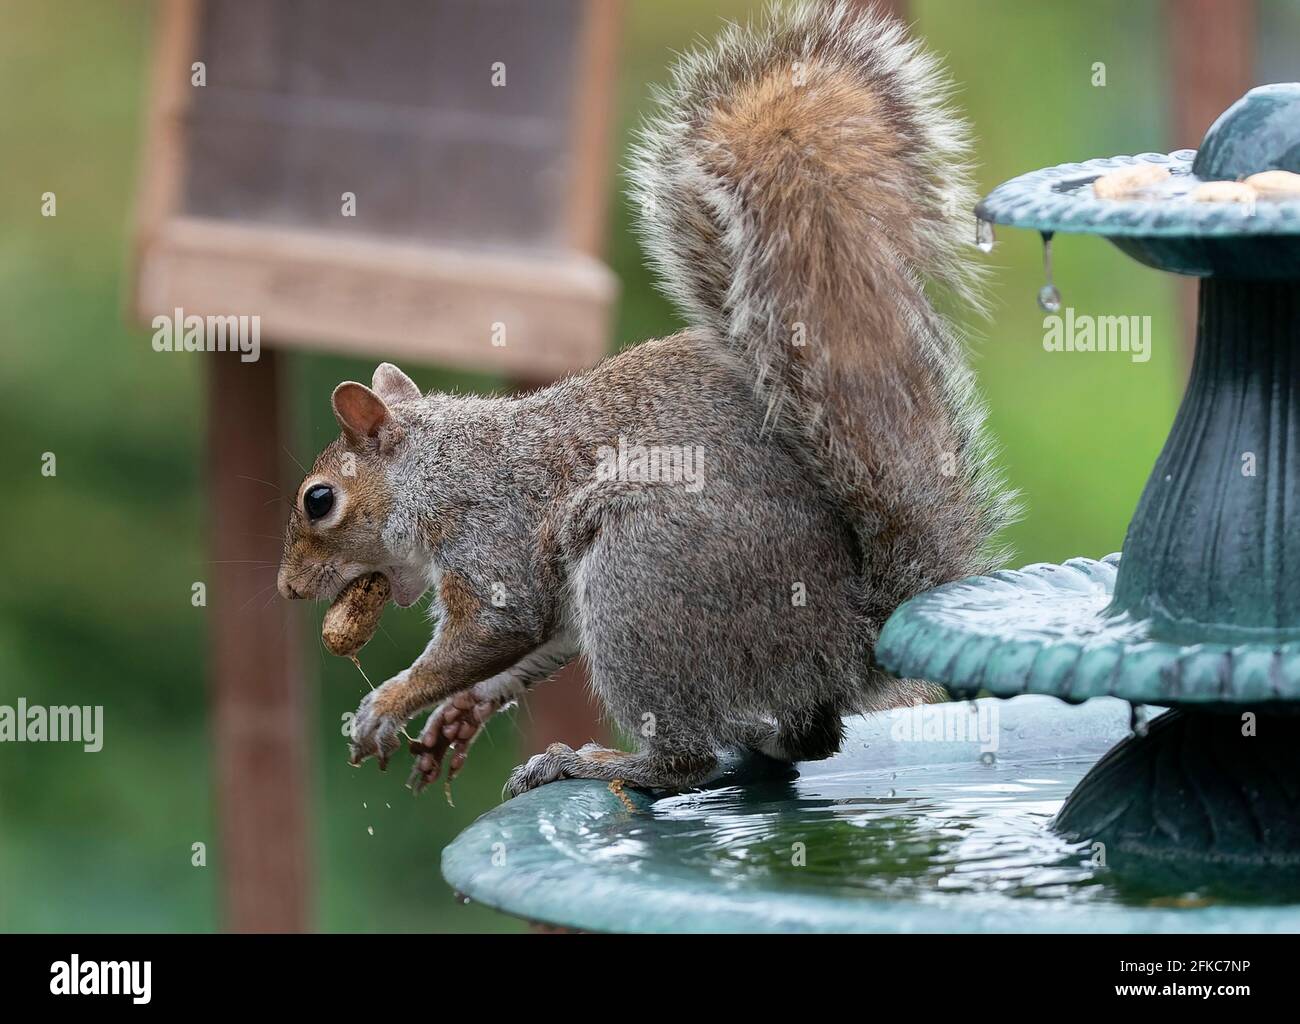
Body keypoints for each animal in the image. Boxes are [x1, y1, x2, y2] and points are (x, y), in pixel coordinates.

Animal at [276, 0, 1012, 798]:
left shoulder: (490, 535)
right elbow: (539, 644)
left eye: (319, 500)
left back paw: (599, 762)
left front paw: (389, 703)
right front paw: (461, 713)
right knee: (808, 740)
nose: (287, 589)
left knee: (687, 759)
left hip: (643, 574)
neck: (437, 467)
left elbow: (499, 629)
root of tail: (854, 634)